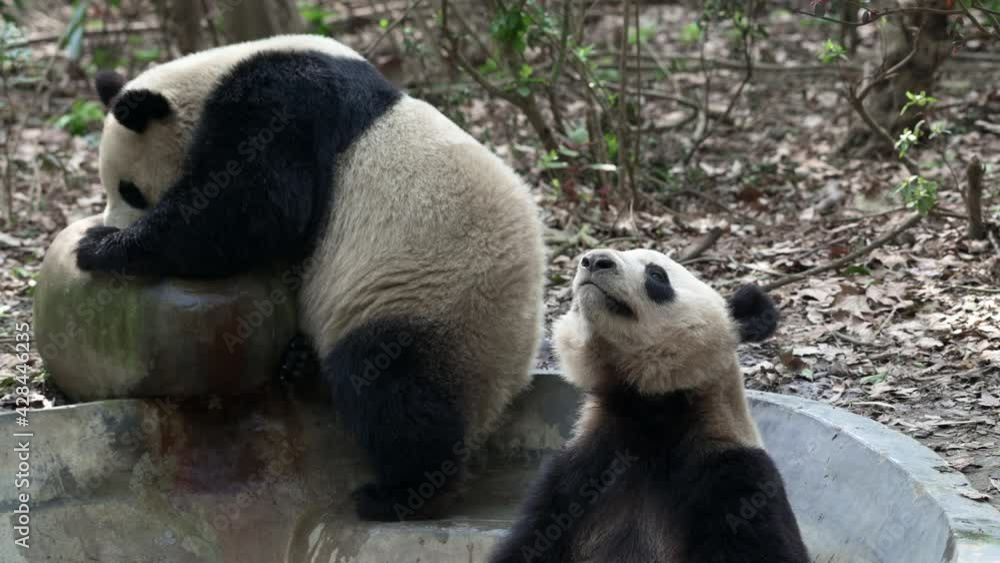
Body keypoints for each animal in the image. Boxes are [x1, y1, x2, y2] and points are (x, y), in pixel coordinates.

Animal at [77, 34, 545, 521]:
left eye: (130, 190)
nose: (110, 220)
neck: (207, 79)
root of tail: (511, 377)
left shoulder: (284, 103)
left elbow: (255, 207)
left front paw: (102, 245)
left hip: (432, 298)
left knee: (392, 389)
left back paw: (401, 495)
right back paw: (298, 363)